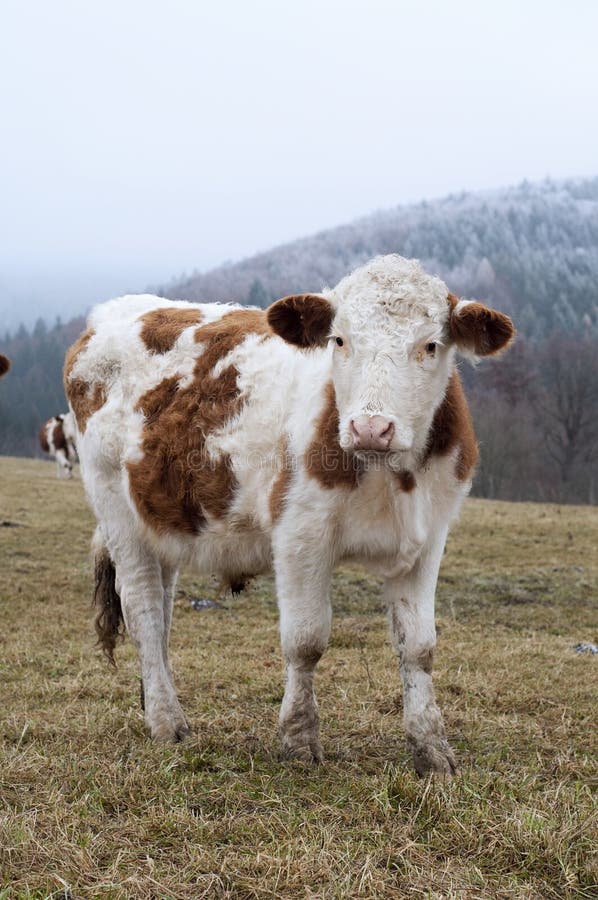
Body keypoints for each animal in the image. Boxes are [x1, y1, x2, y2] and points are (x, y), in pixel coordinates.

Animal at [64, 255, 514, 775]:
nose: (371, 427)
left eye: (430, 345)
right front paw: (299, 740)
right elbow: (306, 641)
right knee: (142, 609)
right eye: (340, 340)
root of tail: (113, 313)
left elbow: (419, 646)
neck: (390, 478)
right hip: (116, 511)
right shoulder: (301, 534)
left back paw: (154, 699)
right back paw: (165, 721)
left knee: (163, 610)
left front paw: (431, 749)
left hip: (162, 516)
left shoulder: (428, 539)